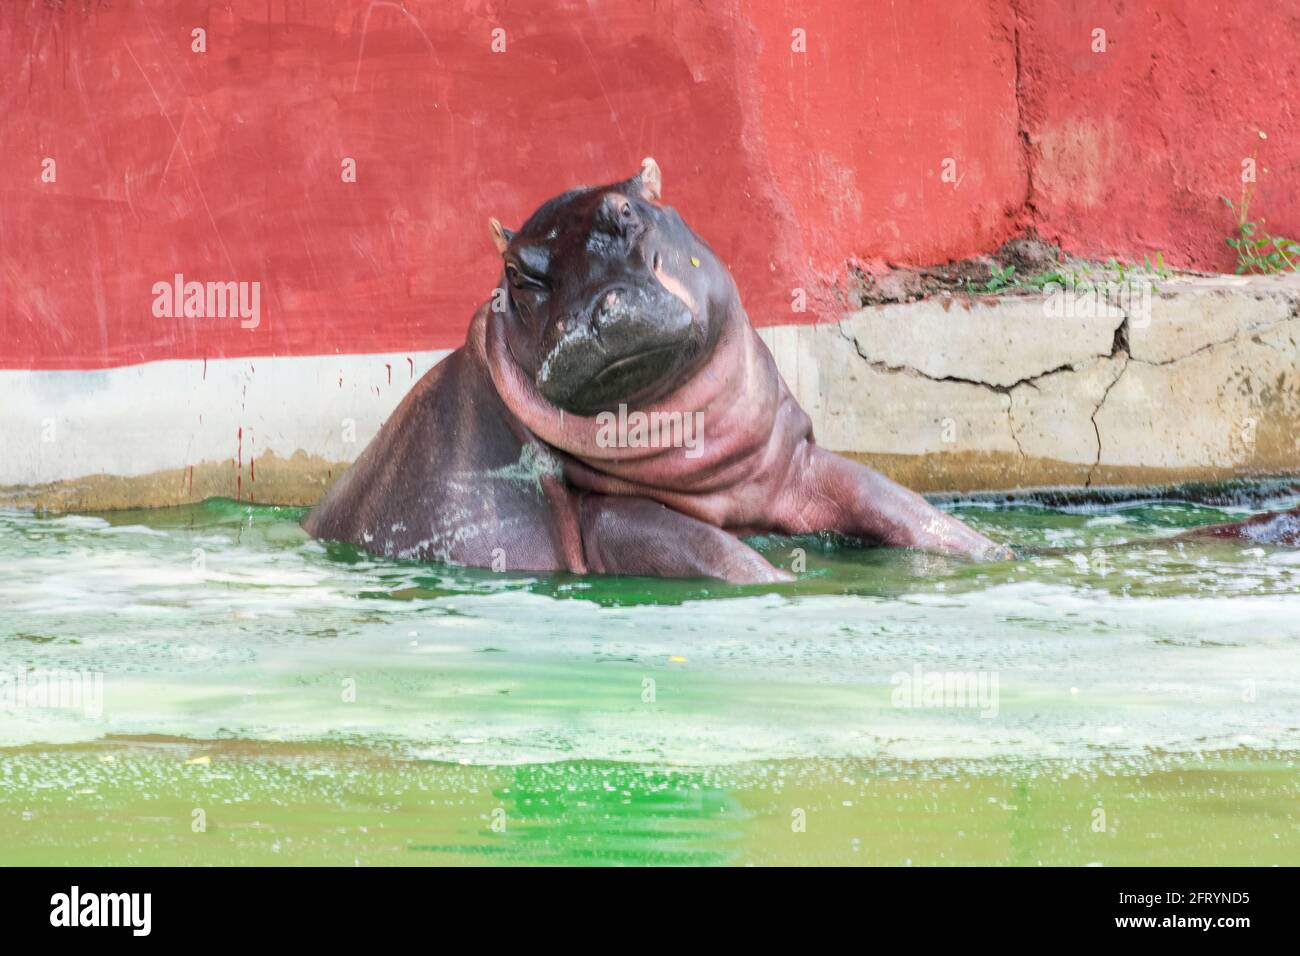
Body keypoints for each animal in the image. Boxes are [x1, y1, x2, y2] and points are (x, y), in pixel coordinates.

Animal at [300, 159, 1034, 581]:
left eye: (628, 211)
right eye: (517, 273)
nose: (594, 310)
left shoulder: (791, 465)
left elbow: (907, 508)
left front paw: (1007, 559)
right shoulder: (614, 519)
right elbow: (725, 556)